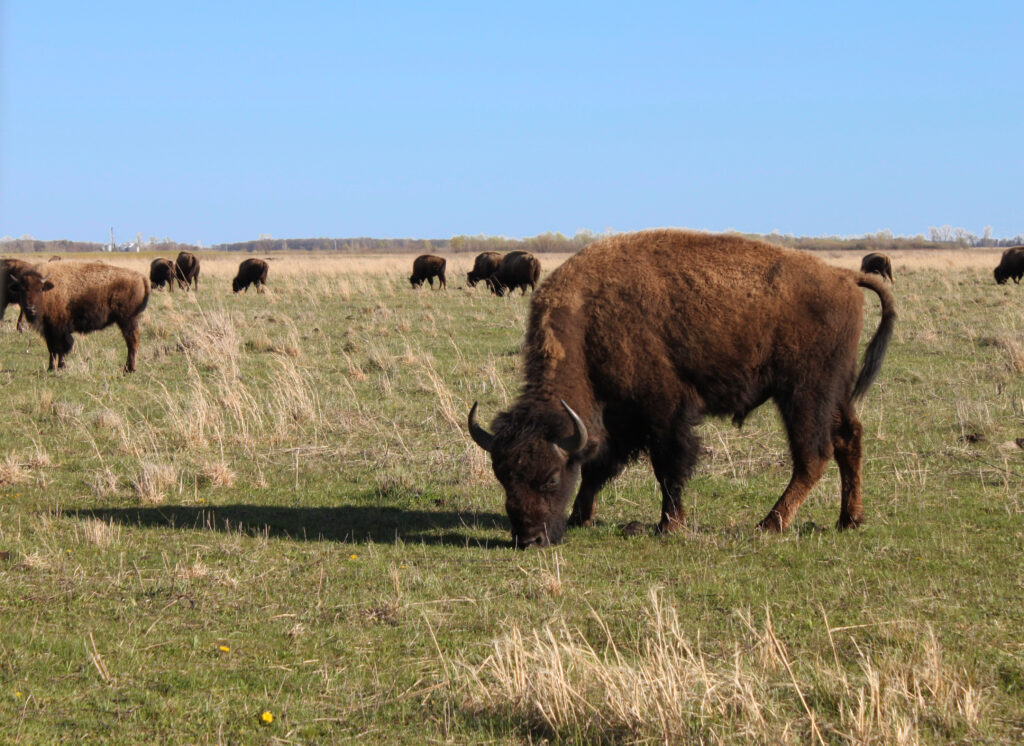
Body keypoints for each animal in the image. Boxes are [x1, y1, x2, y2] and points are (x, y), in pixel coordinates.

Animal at [7, 262, 150, 373]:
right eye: (22, 290)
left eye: (39, 289)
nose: (30, 309)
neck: (49, 290)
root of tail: (141, 278)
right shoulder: (49, 330)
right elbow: (52, 349)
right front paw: (51, 368)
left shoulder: (57, 329)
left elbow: (60, 348)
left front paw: (61, 367)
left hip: (127, 320)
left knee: (132, 341)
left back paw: (129, 369)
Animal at [469, 230, 896, 548]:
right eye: (503, 477)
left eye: (552, 479)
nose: (529, 539)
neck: (588, 319)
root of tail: (844, 278)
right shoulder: (614, 419)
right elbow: (596, 466)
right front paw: (580, 517)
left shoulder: (663, 412)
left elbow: (668, 467)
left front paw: (668, 525)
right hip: (835, 392)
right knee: (848, 440)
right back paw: (849, 519)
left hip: (804, 393)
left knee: (813, 454)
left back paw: (771, 523)